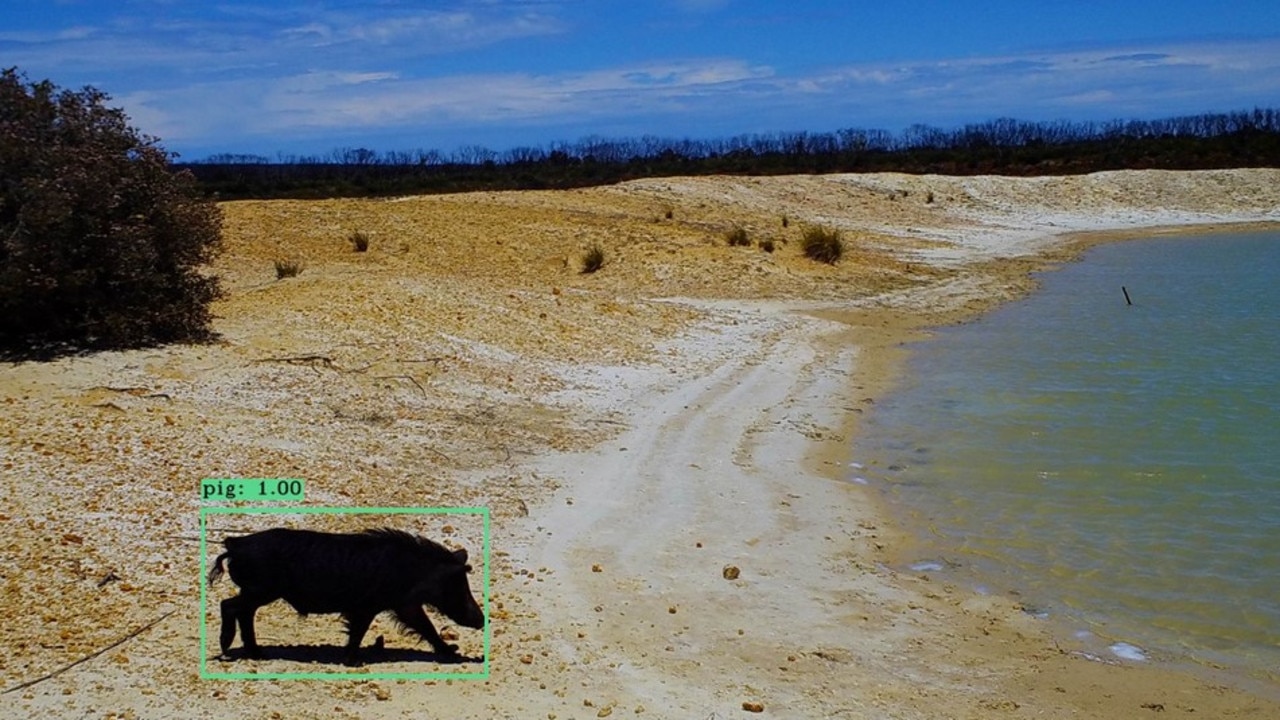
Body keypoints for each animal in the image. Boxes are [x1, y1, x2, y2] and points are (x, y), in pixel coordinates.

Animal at [208, 527, 485, 666]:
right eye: (459, 585)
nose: (482, 620)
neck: (415, 570)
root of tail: (235, 545)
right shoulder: (374, 605)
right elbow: (361, 630)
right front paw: (353, 662)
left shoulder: (401, 605)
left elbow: (426, 628)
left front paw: (452, 652)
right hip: (261, 589)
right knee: (229, 605)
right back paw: (227, 648)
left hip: (257, 591)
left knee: (243, 612)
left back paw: (257, 654)